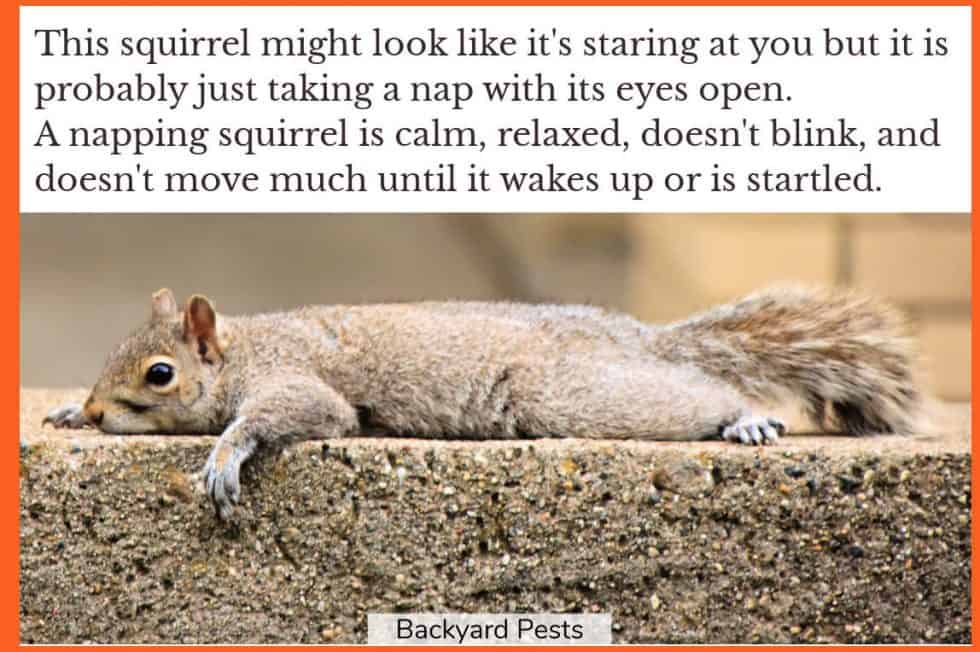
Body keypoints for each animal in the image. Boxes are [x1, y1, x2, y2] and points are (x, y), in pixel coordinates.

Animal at [44, 285, 923, 519]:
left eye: (159, 374)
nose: (99, 412)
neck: (246, 348)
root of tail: (636, 337)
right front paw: (63, 413)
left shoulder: (301, 385)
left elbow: (292, 417)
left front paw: (226, 454)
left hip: (573, 393)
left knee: (694, 392)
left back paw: (742, 416)